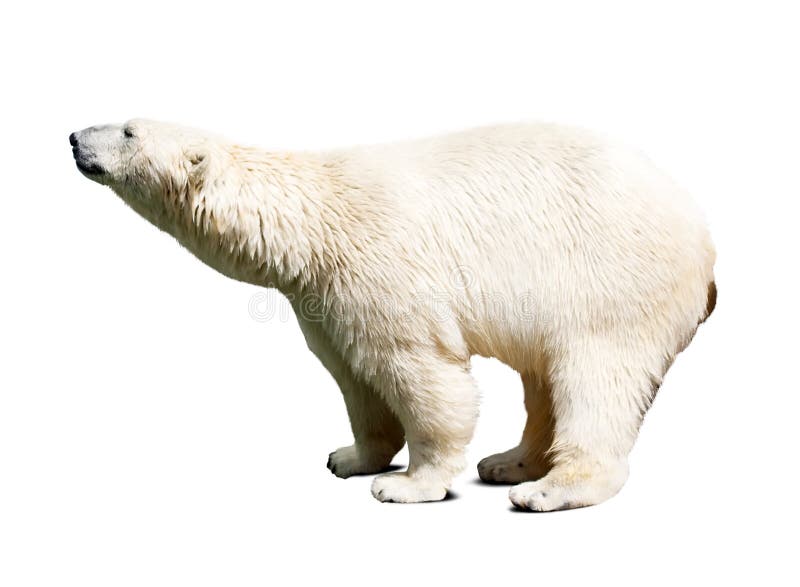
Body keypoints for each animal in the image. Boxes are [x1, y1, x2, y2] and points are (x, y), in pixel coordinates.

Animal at [70, 119, 716, 510]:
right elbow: (354, 378)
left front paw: (406, 484)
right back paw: (509, 463)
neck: (313, 224)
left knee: (594, 375)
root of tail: (704, 241)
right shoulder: (324, 298)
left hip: (609, 280)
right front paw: (349, 458)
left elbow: (424, 375)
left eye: (128, 129)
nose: (75, 136)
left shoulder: (382, 271)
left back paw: (549, 488)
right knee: (544, 379)